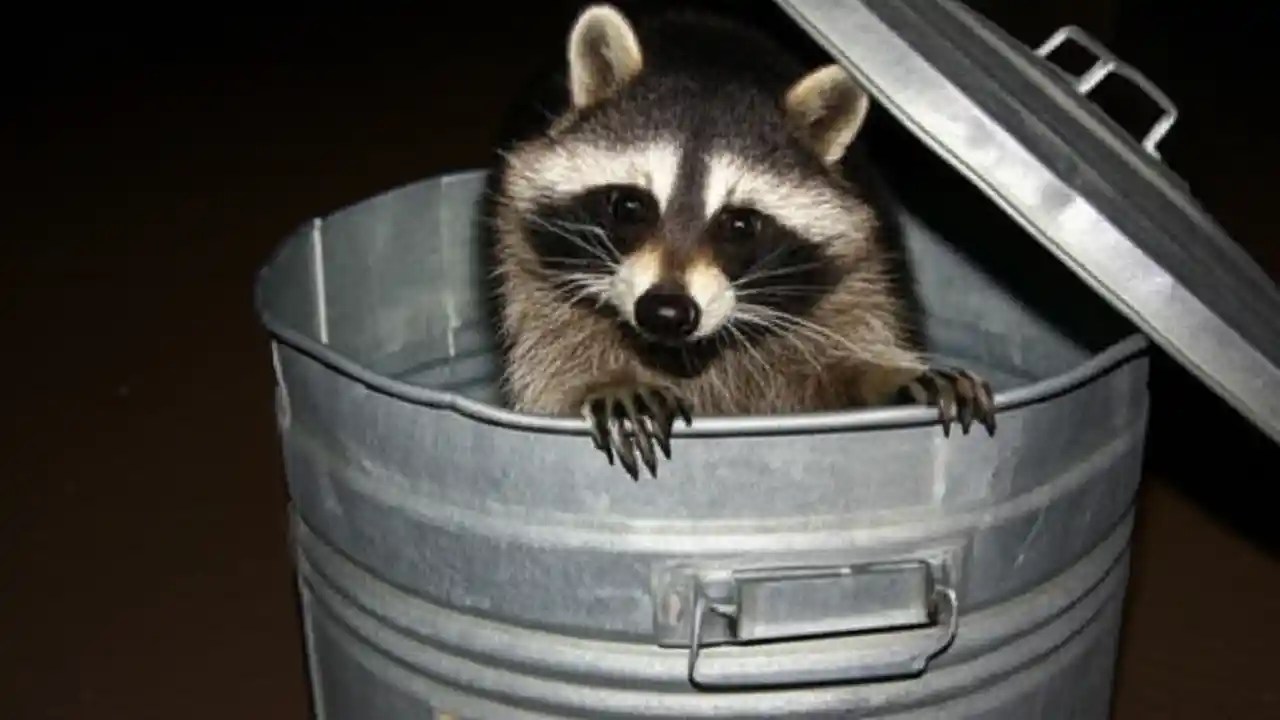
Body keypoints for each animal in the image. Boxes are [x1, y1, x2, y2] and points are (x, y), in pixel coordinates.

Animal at [487, 3, 996, 479]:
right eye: (629, 207)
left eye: (740, 226)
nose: (666, 312)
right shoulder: (521, 247)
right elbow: (549, 354)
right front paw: (605, 381)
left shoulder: (859, 268)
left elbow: (842, 349)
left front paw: (884, 374)